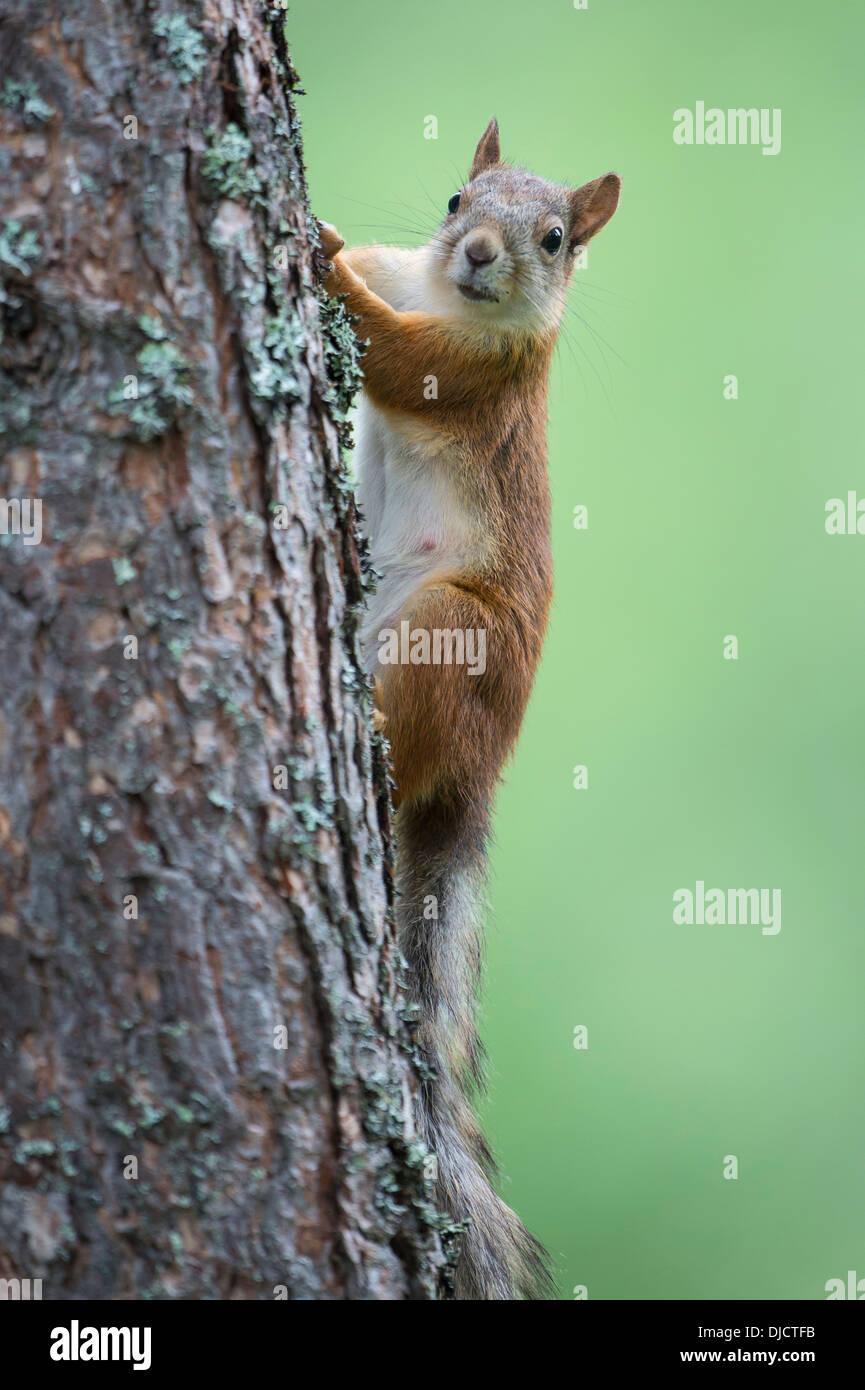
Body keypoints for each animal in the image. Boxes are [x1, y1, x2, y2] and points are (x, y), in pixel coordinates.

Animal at [318, 120, 620, 1300]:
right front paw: (333, 233)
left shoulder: (479, 380)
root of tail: (477, 770)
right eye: (456, 200)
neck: (446, 301)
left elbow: (397, 360)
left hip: (453, 637)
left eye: (554, 238)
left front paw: (314, 257)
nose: (480, 253)